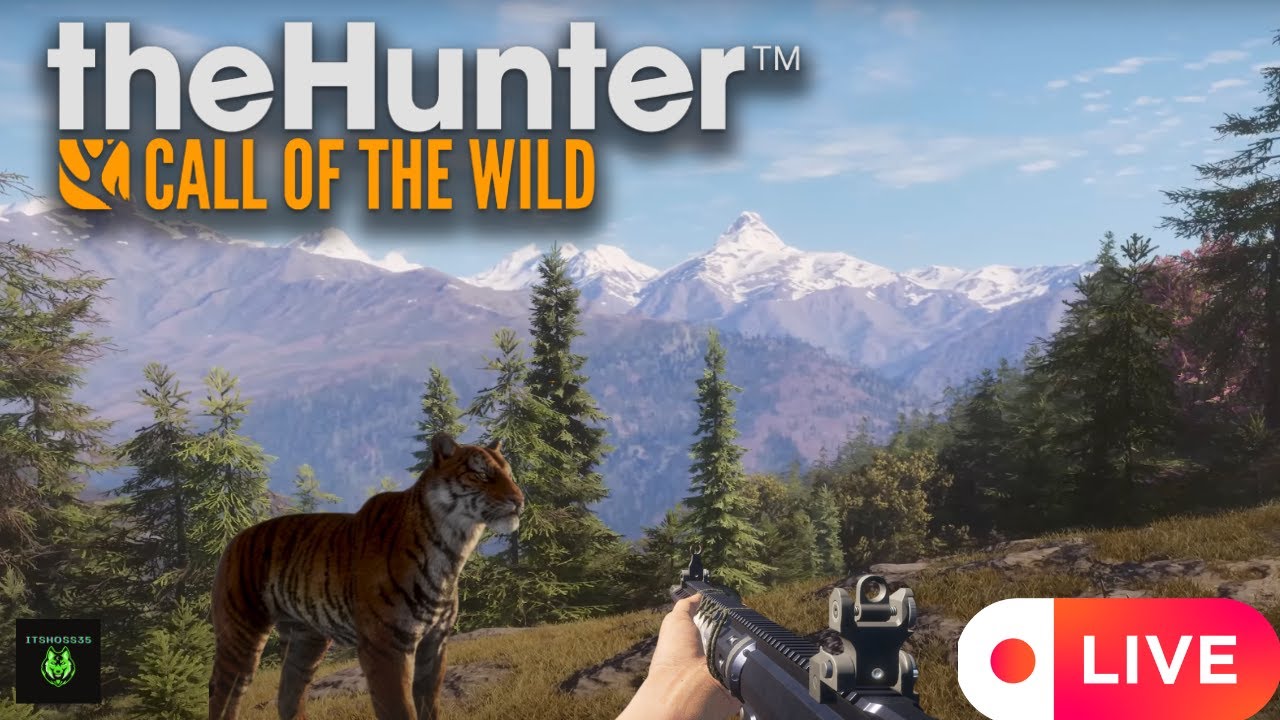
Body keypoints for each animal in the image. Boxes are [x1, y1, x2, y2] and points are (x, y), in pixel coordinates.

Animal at [207, 432, 524, 720]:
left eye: (509, 474)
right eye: (481, 474)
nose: (519, 500)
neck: (452, 550)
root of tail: (236, 538)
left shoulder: (434, 644)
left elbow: (428, 705)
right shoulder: (385, 646)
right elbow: (398, 708)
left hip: (306, 641)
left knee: (288, 693)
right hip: (241, 632)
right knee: (223, 691)